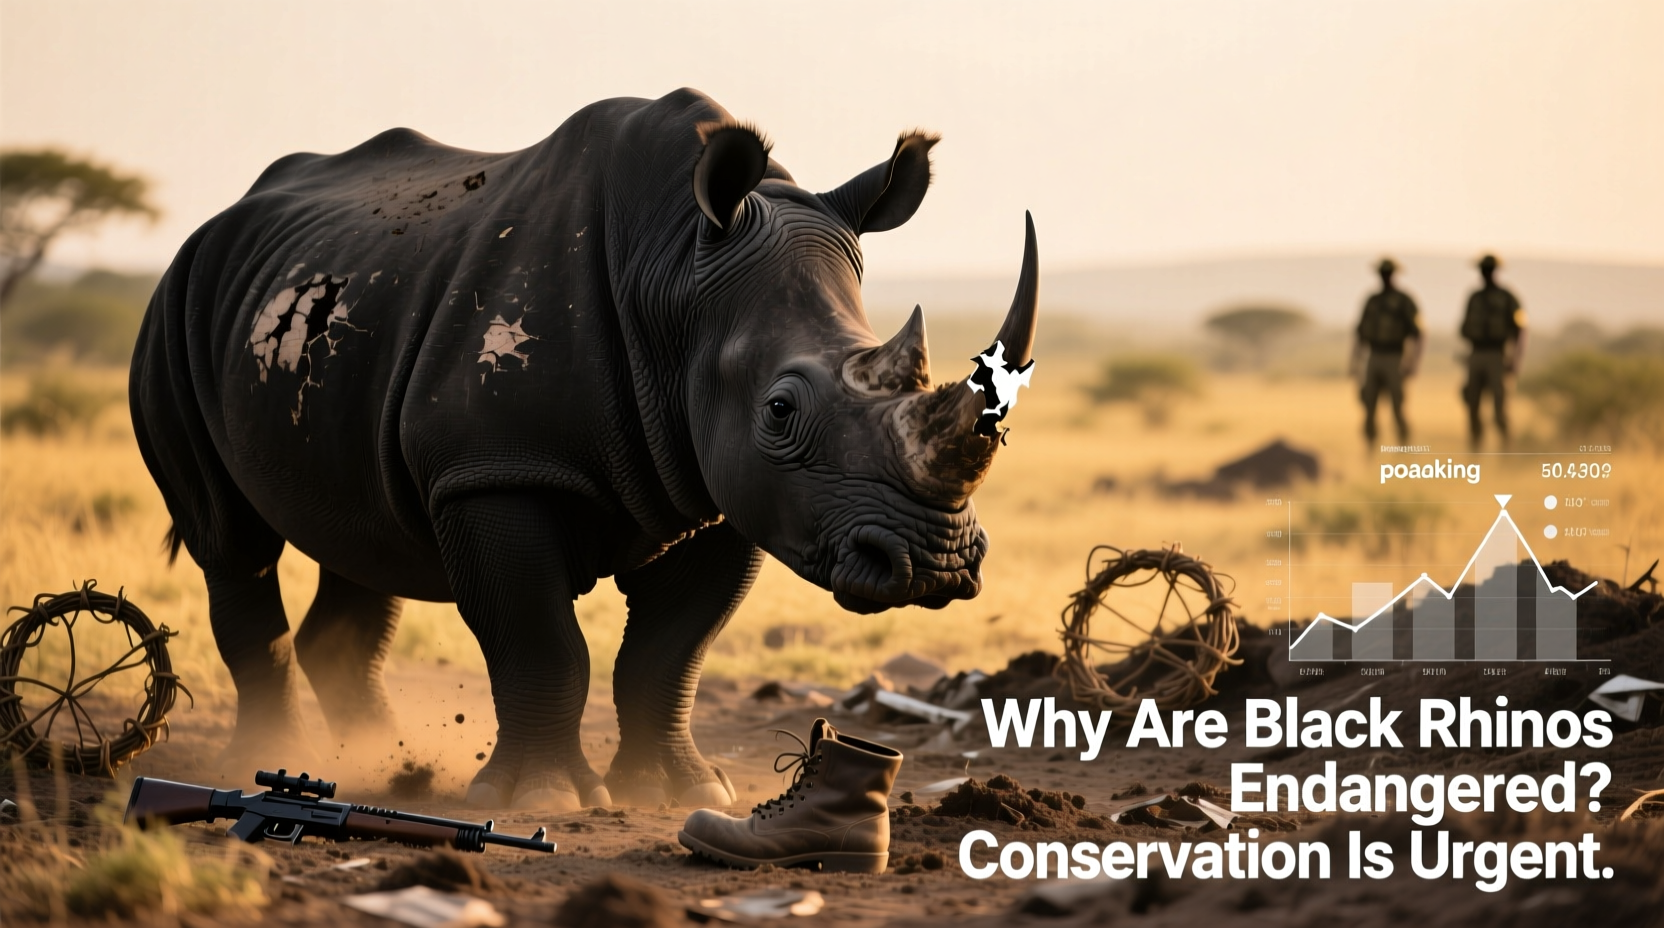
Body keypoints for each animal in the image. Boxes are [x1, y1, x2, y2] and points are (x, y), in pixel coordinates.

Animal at [130, 88, 1038, 810]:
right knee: (232, 542)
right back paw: (272, 761)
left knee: (359, 541)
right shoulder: (493, 470)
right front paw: (541, 799)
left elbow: (670, 654)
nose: (934, 564)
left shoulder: (724, 497)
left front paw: (681, 793)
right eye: (779, 410)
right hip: (173, 311)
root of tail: (217, 223)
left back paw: (384, 767)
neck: (673, 274)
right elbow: (540, 640)